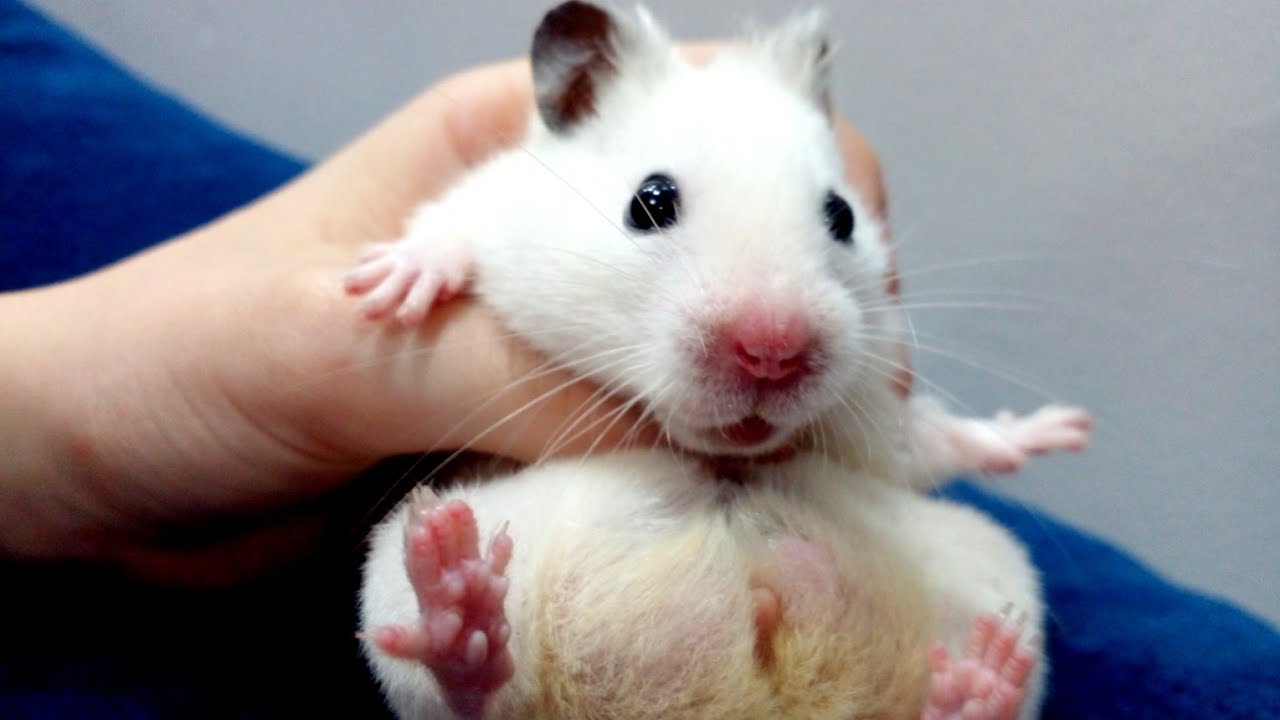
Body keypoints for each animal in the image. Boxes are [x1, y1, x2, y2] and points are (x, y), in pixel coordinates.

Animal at [346, 3, 1090, 719]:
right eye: (649, 202)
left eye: (842, 215)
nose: (773, 351)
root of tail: (757, 688)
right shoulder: (489, 198)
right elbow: (445, 228)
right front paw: (383, 289)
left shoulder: (873, 429)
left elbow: (936, 439)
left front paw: (1062, 428)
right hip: (390, 575)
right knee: (473, 692)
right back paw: (454, 592)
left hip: (996, 571)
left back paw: (981, 683)